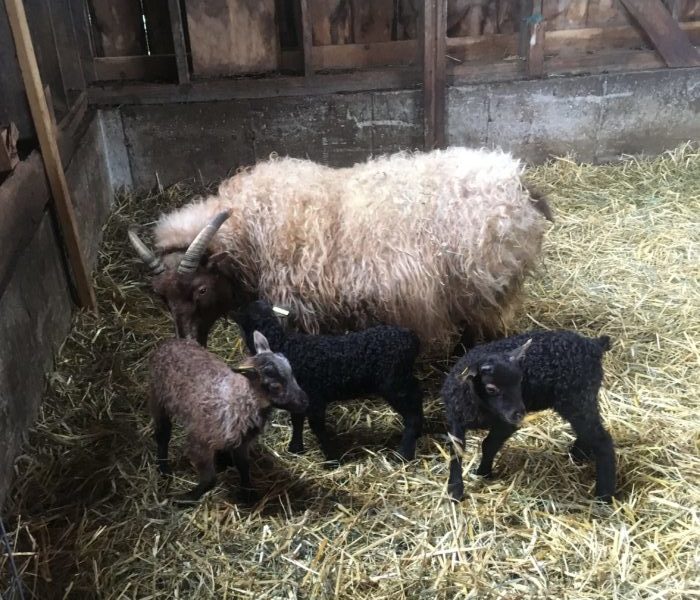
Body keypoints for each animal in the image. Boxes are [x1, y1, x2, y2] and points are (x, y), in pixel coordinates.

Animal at [128, 147, 552, 354]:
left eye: (200, 289)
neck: (251, 229)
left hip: (485, 286)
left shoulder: (295, 306)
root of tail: (516, 180)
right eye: (161, 297)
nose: (186, 345)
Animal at [149, 331, 308, 504]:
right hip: (158, 397)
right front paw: (185, 498)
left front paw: (248, 493)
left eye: (292, 373)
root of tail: (169, 342)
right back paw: (163, 468)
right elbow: (210, 480)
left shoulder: (242, 442)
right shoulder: (199, 442)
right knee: (163, 434)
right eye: (275, 386)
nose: (305, 402)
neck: (239, 399)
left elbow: (244, 466)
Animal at [233, 299, 423, 463]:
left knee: (412, 414)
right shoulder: (299, 397)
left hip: (394, 384)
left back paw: (403, 454)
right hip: (402, 379)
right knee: (417, 394)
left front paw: (332, 458)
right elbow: (297, 421)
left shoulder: (315, 398)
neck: (284, 344)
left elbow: (316, 427)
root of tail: (411, 338)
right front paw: (295, 447)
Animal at [441, 330, 616, 503]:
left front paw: (483, 472)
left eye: (520, 381)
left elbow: (488, 445)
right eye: (491, 388)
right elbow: (456, 450)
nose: (519, 413)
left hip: (577, 399)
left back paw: (604, 495)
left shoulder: (506, 424)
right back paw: (576, 456)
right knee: (588, 433)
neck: (483, 408)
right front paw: (455, 490)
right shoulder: (456, 419)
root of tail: (594, 345)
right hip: (579, 401)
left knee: (602, 440)